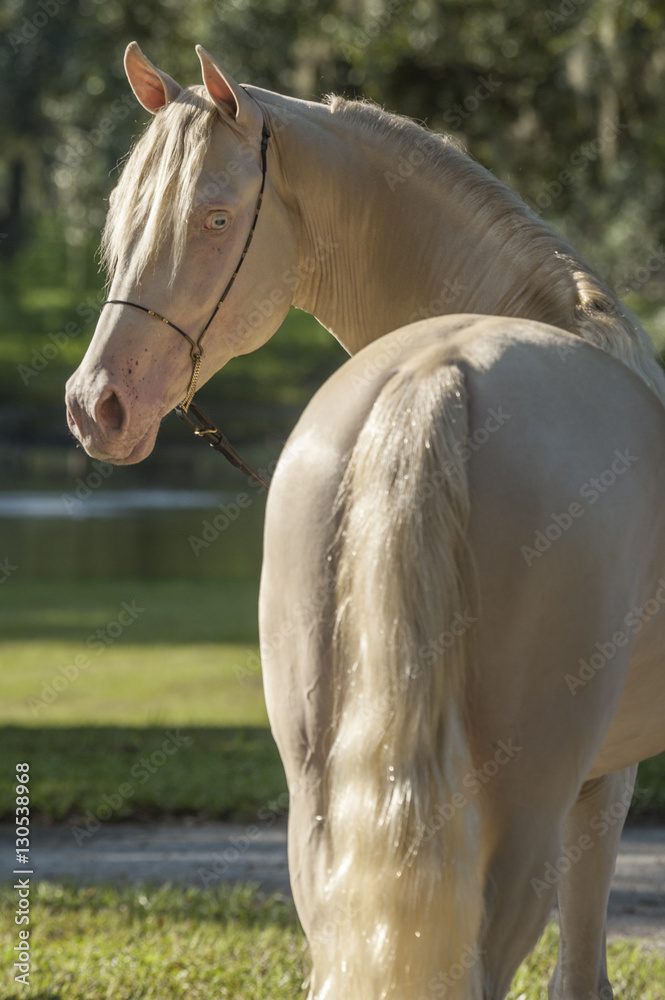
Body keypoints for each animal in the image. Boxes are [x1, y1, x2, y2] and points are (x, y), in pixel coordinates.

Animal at [65, 43, 665, 999]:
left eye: (215, 217)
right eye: (125, 216)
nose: (98, 406)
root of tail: (435, 374)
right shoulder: (601, 786)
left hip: (320, 810)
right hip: (524, 814)